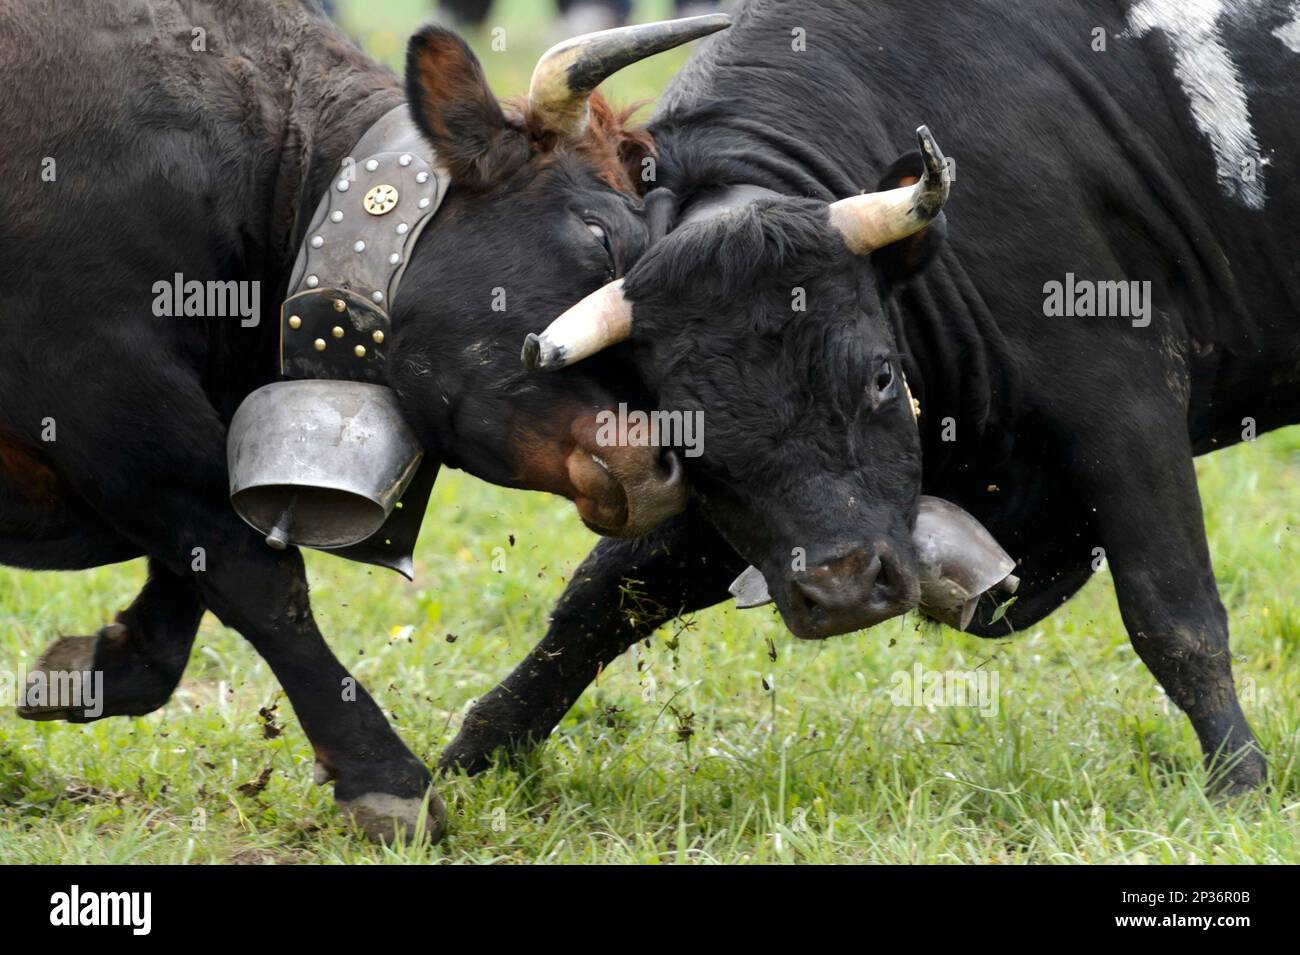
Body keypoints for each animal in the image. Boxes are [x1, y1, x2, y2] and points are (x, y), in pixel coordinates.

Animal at [0, 0, 731, 841]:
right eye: (601, 234)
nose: (667, 466)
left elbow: (192, 576)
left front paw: (102, 663)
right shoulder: (105, 385)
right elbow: (255, 574)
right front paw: (386, 779)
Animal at [439, 0, 1300, 803]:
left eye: (881, 376)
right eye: (688, 430)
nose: (846, 585)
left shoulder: (1124, 404)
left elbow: (1174, 613)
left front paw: (1239, 780)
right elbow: (601, 598)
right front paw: (464, 760)